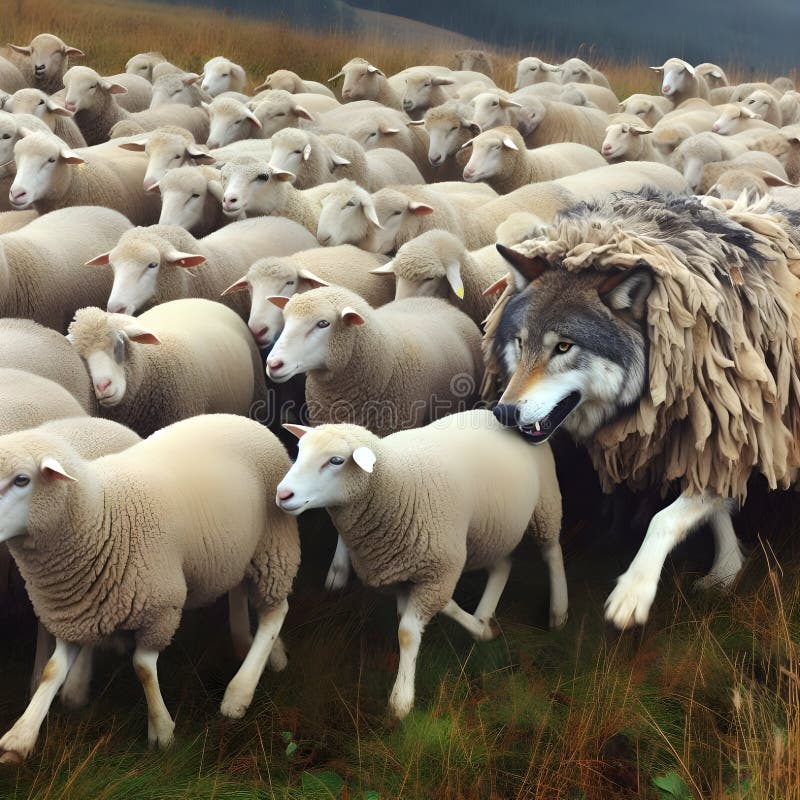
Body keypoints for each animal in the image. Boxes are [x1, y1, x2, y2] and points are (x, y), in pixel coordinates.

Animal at [0, 413, 300, 759]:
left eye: (22, 480)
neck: (103, 514)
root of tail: (243, 419)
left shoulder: (161, 606)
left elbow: (143, 667)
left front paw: (162, 732)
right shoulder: (77, 612)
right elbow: (52, 670)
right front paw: (20, 736)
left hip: (274, 544)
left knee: (275, 613)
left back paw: (239, 693)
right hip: (237, 551)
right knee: (245, 596)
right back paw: (269, 655)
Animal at [275, 408, 566, 718]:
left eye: (336, 461)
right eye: (300, 451)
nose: (283, 494)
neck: (395, 482)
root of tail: (491, 412)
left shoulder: (439, 568)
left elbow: (407, 633)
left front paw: (401, 701)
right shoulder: (407, 573)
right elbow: (433, 609)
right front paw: (481, 628)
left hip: (545, 502)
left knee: (551, 552)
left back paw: (558, 612)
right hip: (489, 531)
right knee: (502, 566)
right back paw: (484, 615)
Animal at [484, 190, 800, 629]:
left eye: (563, 347)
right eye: (519, 342)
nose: (505, 413)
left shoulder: (737, 430)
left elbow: (662, 518)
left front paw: (633, 591)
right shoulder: (716, 437)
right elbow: (715, 507)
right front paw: (726, 570)